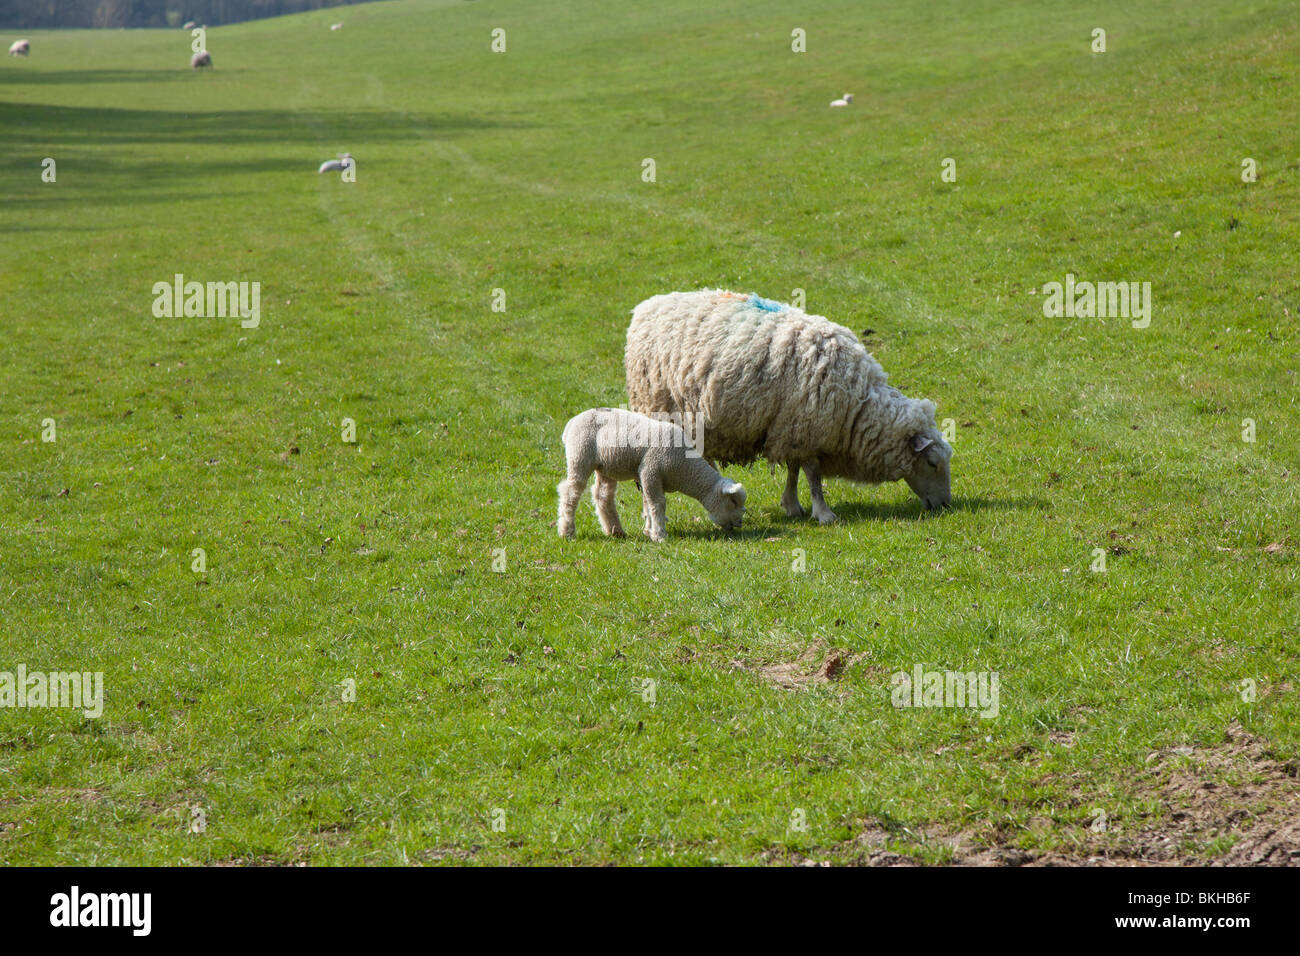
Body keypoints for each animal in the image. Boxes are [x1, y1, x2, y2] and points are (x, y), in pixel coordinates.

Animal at [557, 407, 746, 542]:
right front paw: (660, 535)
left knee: (603, 495)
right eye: (733, 502)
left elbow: (648, 503)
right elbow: (657, 503)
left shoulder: (648, 476)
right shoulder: (651, 470)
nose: (739, 523)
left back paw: (615, 531)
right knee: (571, 492)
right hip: (580, 455)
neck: (685, 467)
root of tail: (571, 423)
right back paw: (567, 531)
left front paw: (649, 530)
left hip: (605, 465)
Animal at [625, 290, 952, 522]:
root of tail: (645, 307)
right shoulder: (805, 427)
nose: (946, 505)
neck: (858, 407)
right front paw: (824, 513)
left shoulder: (792, 427)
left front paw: (792, 505)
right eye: (932, 463)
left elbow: (794, 470)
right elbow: (814, 476)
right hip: (661, 407)